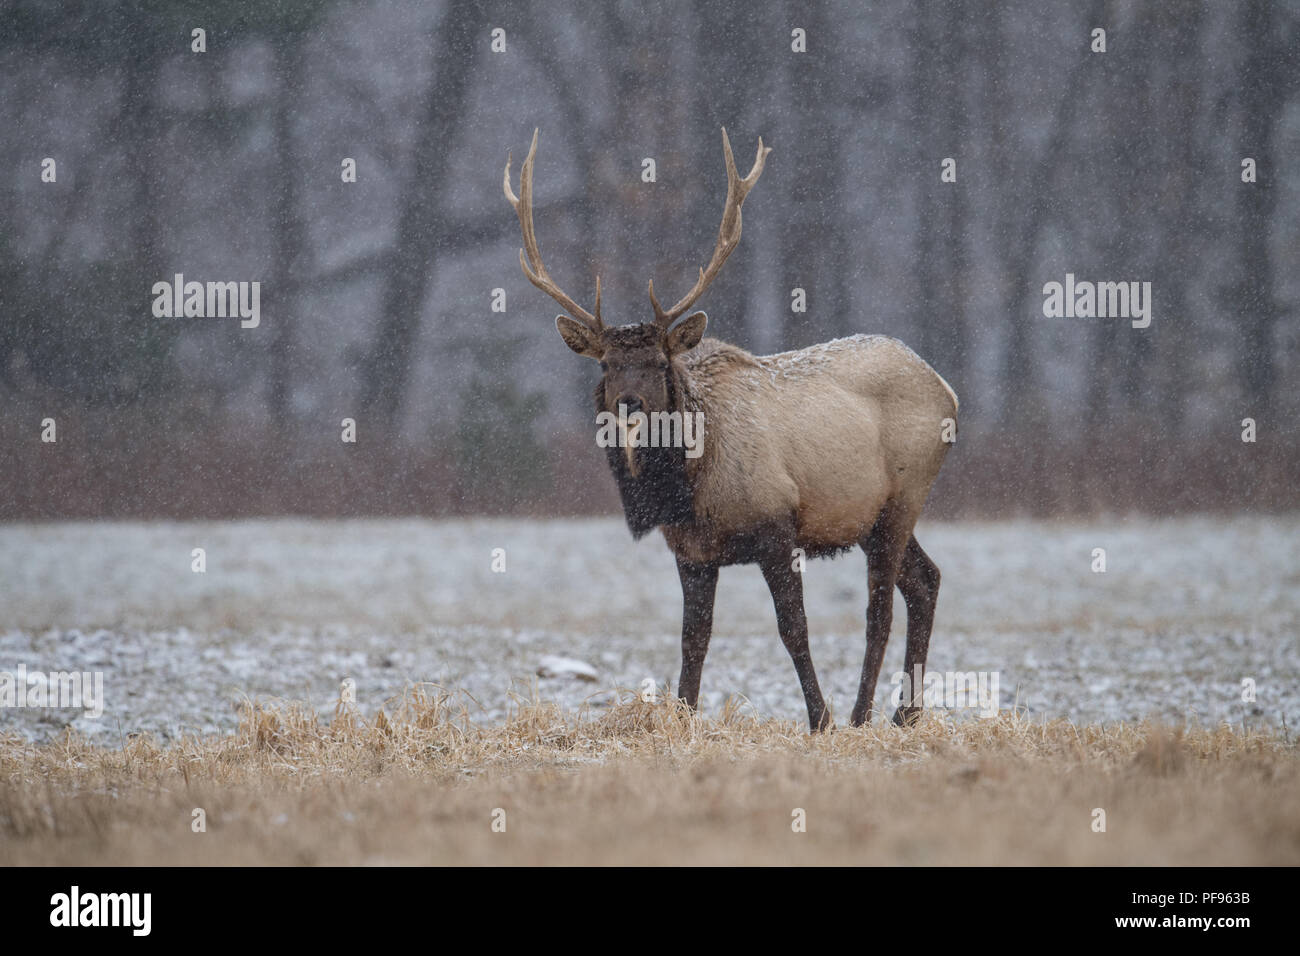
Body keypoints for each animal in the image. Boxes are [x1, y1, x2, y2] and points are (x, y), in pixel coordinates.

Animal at [504, 128, 958, 731]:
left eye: (659, 362)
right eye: (606, 364)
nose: (628, 405)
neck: (690, 488)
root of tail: (948, 389)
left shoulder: (777, 526)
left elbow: (794, 630)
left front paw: (820, 719)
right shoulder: (691, 551)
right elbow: (694, 638)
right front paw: (683, 713)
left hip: (905, 494)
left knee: (880, 607)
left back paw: (863, 715)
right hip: (871, 515)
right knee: (926, 580)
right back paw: (906, 713)